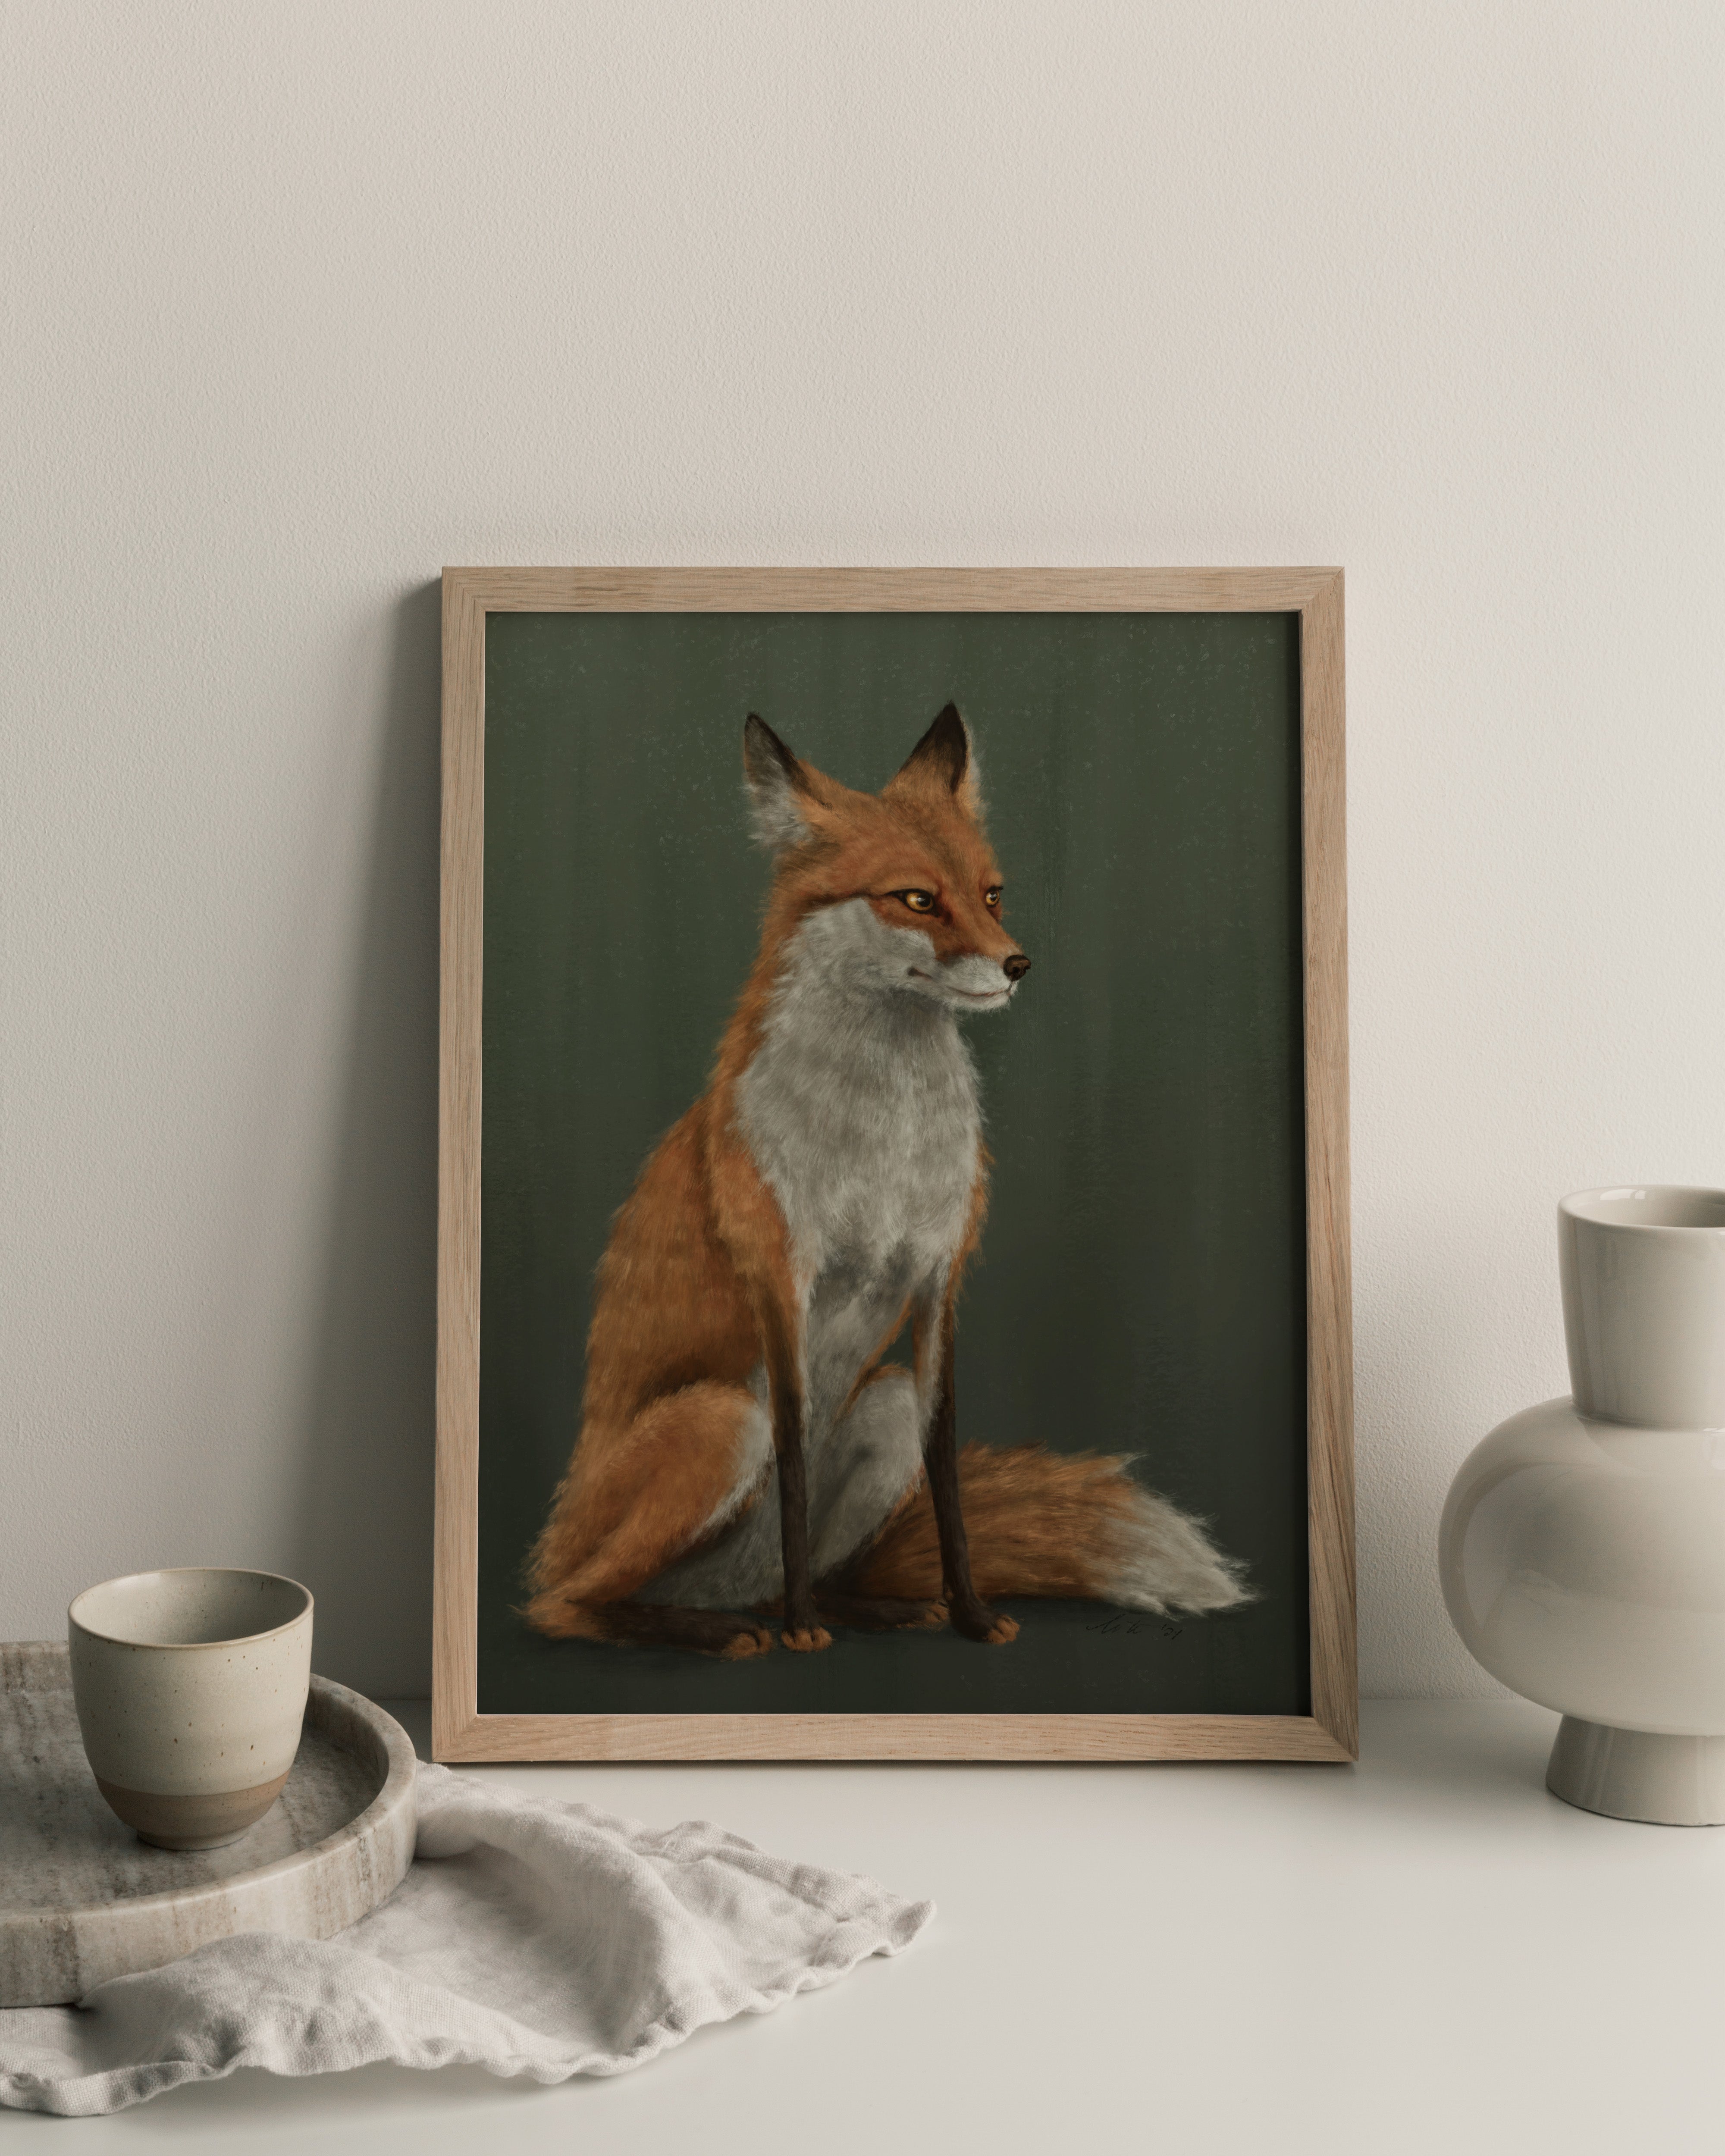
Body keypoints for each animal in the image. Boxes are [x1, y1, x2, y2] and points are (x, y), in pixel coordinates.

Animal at [524, 702, 1249, 1657]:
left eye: (991, 894)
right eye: (916, 899)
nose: (1018, 965)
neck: (885, 1145)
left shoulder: (939, 1279)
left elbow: (946, 1475)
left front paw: (969, 1614)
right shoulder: (782, 1280)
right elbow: (794, 1463)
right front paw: (803, 1631)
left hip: (883, 1405)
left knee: (794, 1567)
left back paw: (863, 1607)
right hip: (720, 1421)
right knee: (565, 1605)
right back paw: (722, 1628)